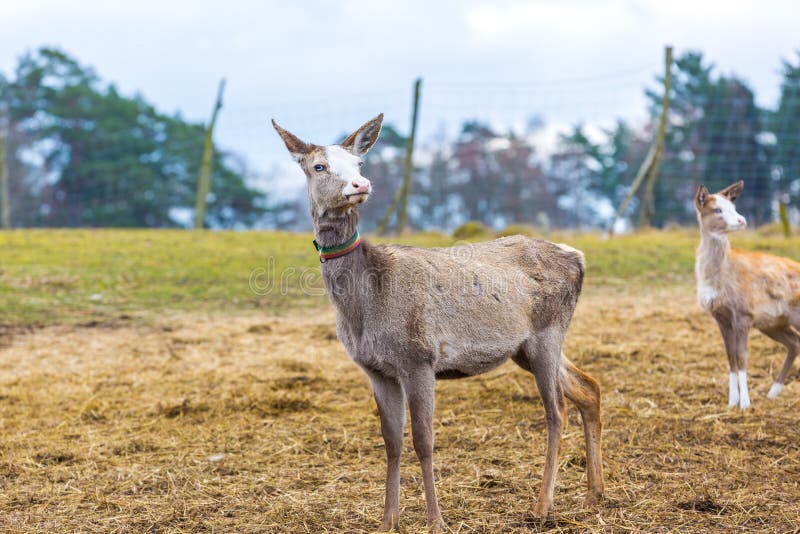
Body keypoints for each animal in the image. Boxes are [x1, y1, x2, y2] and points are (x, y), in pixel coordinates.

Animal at [272, 114, 604, 532]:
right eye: (319, 166)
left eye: (359, 163)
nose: (361, 185)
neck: (364, 309)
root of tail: (579, 257)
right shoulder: (375, 369)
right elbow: (391, 441)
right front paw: (388, 521)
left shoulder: (419, 358)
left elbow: (423, 440)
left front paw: (435, 520)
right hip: (526, 348)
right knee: (587, 387)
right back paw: (595, 493)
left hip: (547, 332)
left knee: (556, 410)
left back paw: (543, 507)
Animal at [695, 181, 800, 409]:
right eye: (717, 209)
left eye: (733, 206)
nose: (742, 219)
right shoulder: (720, 316)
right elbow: (731, 355)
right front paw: (731, 402)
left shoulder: (743, 313)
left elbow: (742, 356)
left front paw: (745, 403)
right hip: (773, 322)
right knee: (795, 343)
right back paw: (773, 392)